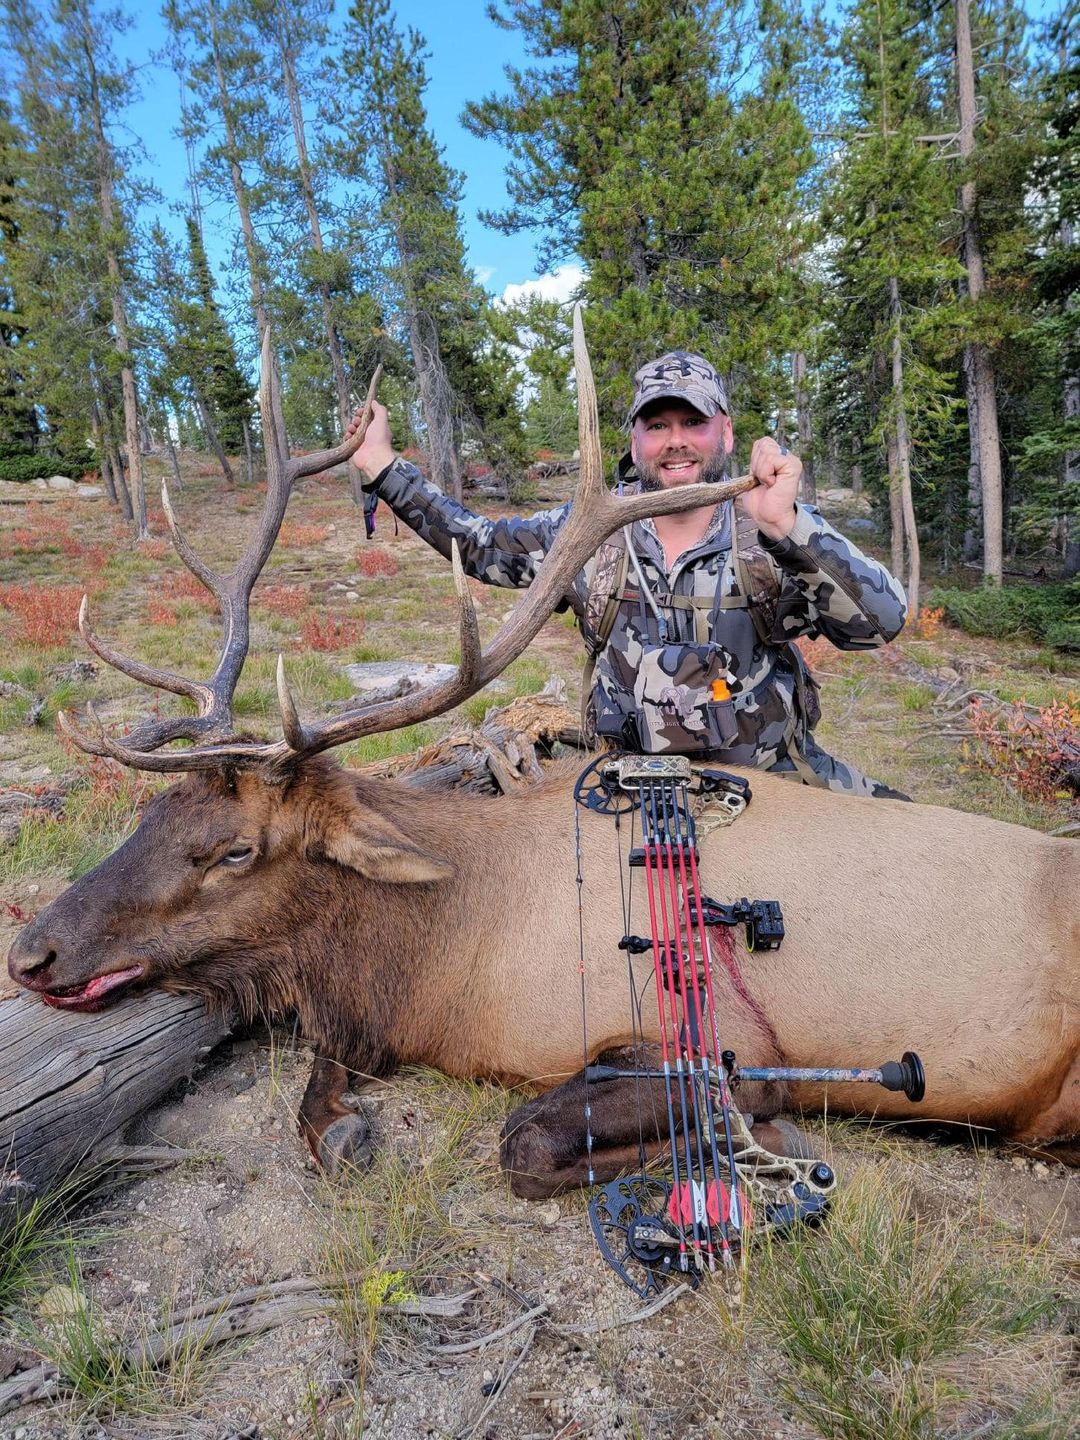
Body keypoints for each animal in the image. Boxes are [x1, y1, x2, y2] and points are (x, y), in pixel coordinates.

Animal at [7, 312, 1080, 1197]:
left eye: (235, 849)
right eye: (154, 813)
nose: (33, 950)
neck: (439, 968)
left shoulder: (712, 1037)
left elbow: (526, 1140)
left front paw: (763, 1142)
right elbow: (325, 1108)